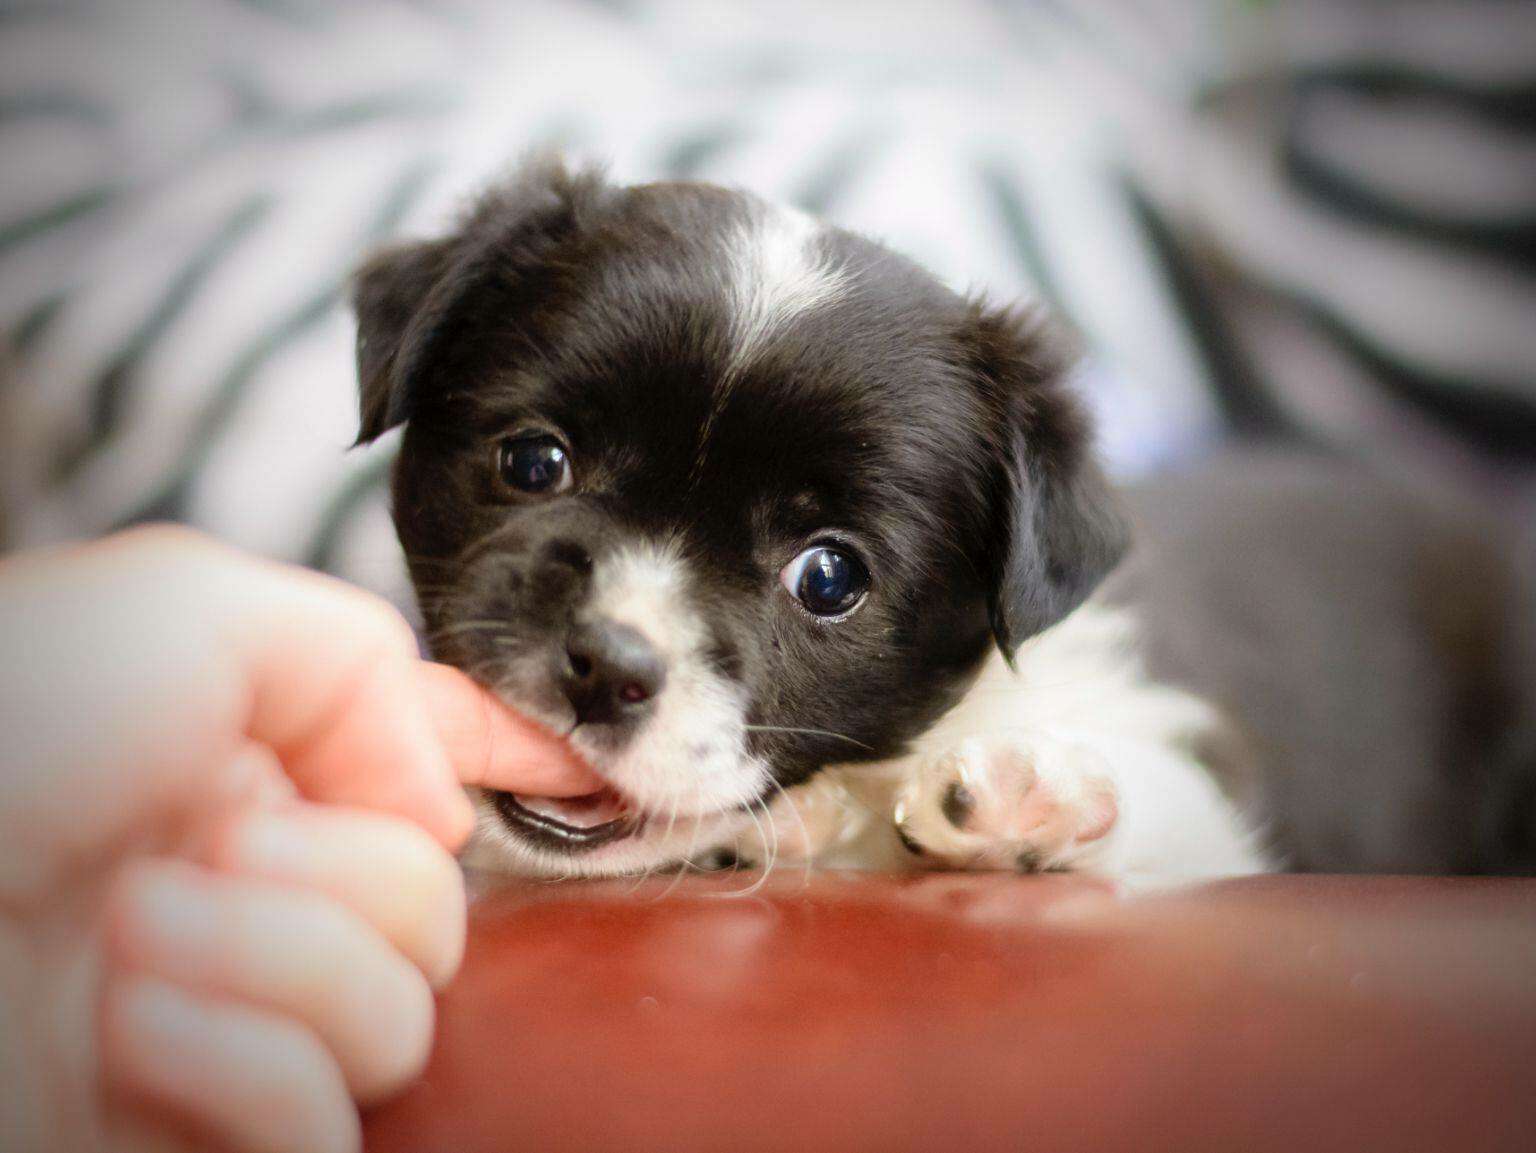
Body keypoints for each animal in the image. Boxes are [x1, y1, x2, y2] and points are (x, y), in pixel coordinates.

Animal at [351, 160, 1536, 884]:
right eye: (533, 461)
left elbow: (1172, 804)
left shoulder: (1210, 782)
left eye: (829, 578)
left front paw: (1040, 794)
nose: (606, 662)